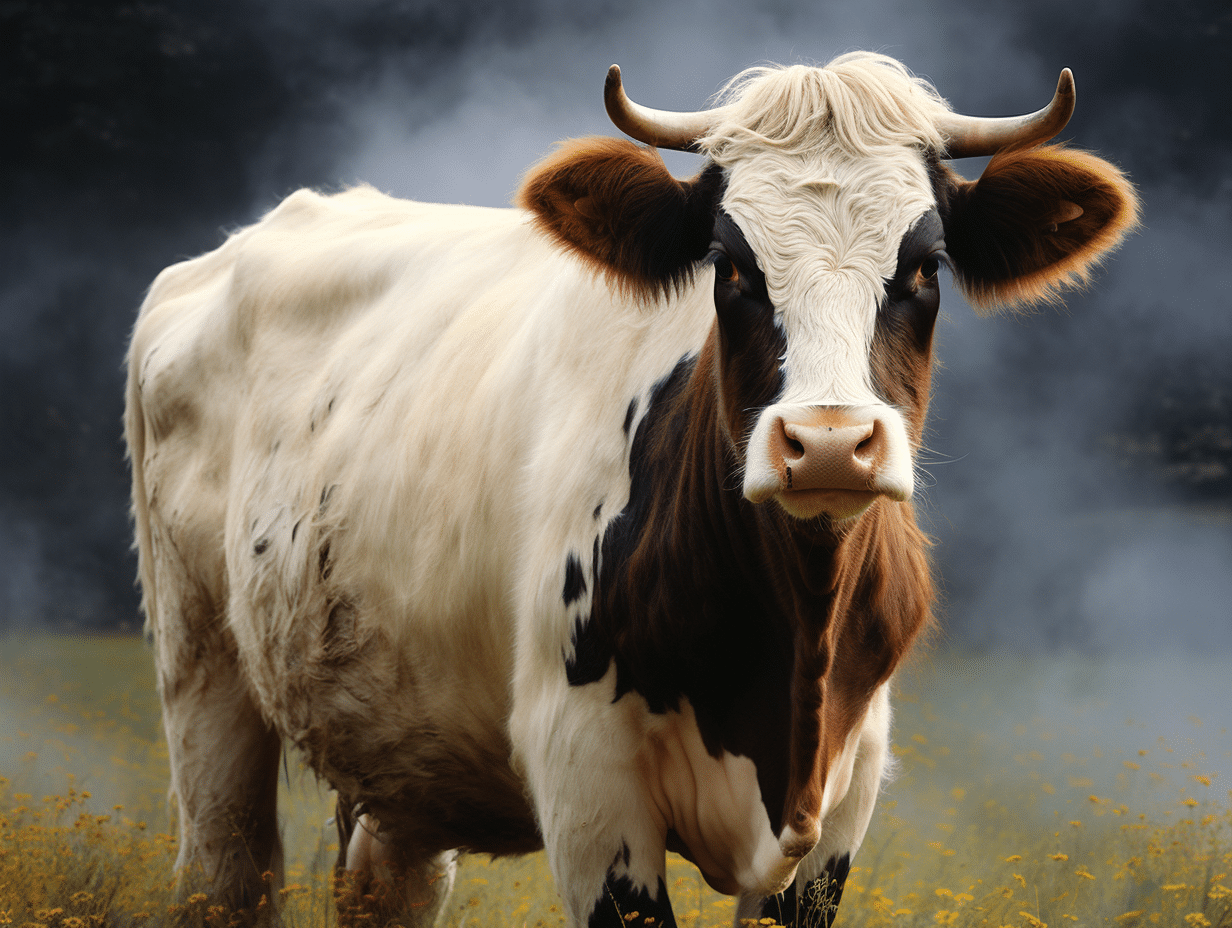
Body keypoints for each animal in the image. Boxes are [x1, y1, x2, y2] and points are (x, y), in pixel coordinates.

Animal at [125, 52, 1138, 927]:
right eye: (731, 266)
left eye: (926, 267)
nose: (828, 446)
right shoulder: (587, 786)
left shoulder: (844, 801)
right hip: (201, 675)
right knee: (225, 871)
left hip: (396, 756)